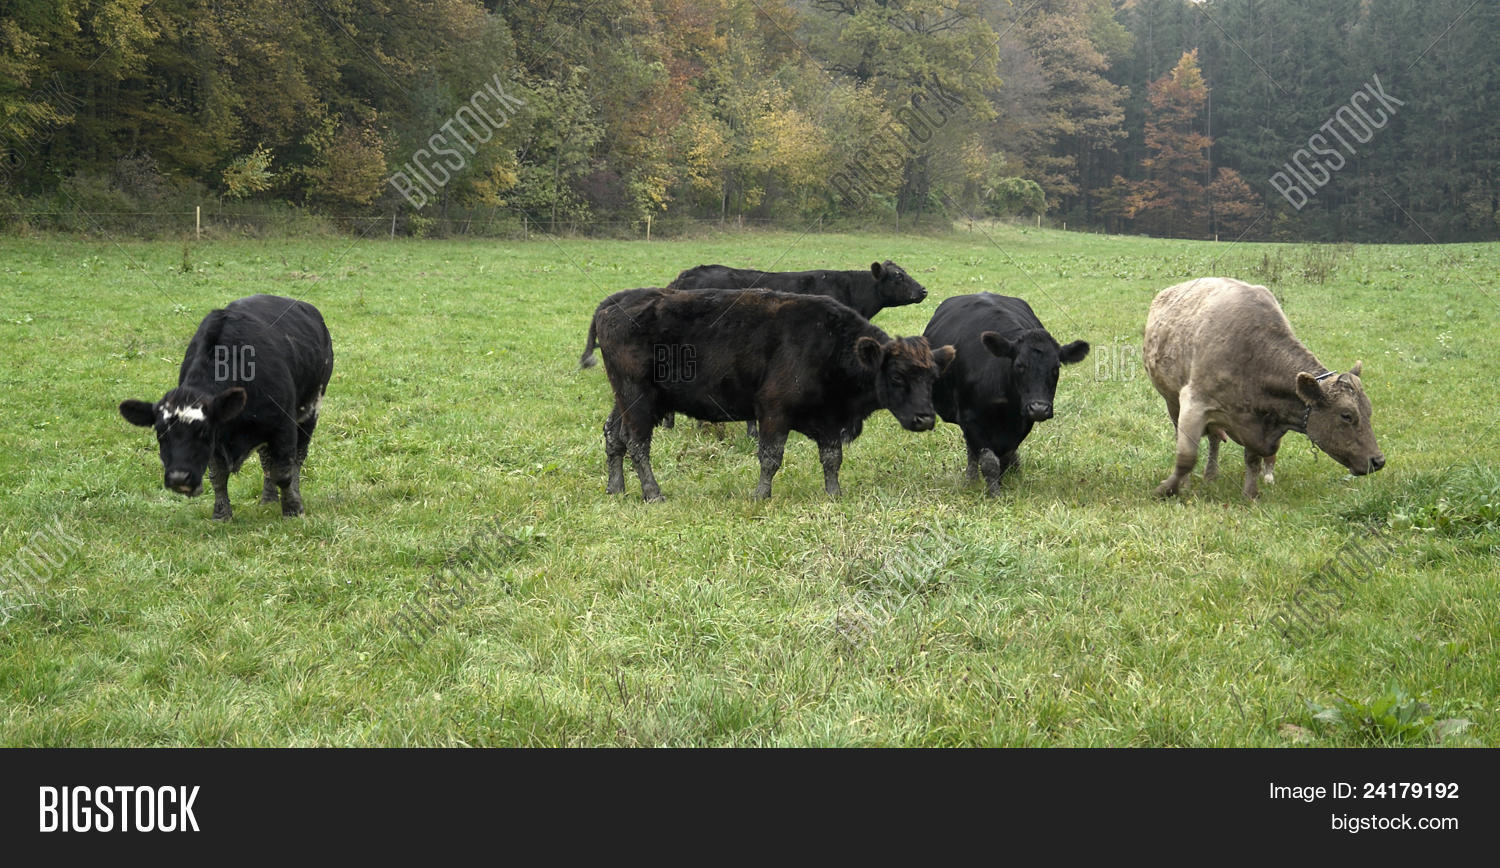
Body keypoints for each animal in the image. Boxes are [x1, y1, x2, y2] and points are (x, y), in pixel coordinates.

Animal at [119, 294, 334, 520]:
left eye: (203, 431)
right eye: (160, 434)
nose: (179, 478)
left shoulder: (283, 426)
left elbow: (284, 472)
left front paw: (293, 509)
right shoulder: (219, 437)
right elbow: (218, 477)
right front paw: (221, 514)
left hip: (311, 410)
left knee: (297, 460)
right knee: (266, 460)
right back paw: (268, 499)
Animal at [579, 287, 955, 501]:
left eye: (933, 377)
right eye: (897, 375)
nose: (924, 418)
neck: (830, 344)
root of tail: (610, 304)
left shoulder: (829, 420)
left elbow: (832, 459)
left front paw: (834, 495)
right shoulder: (774, 411)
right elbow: (771, 457)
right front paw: (761, 496)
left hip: (624, 399)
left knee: (614, 436)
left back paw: (616, 488)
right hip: (638, 399)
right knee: (637, 444)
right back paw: (653, 493)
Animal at [923, 293, 1089, 496]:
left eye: (1056, 368)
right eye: (1019, 365)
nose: (1039, 408)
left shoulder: (1023, 421)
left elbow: (1006, 455)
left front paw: (1005, 482)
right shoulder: (970, 419)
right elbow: (988, 461)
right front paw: (994, 493)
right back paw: (971, 479)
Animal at [1143, 277, 1384, 499]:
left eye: (1369, 411)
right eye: (1346, 415)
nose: (1378, 460)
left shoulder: (1256, 422)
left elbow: (1253, 459)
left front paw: (1250, 494)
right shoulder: (1194, 403)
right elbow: (1186, 457)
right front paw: (1168, 488)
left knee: (1214, 440)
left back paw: (1212, 475)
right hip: (1172, 401)